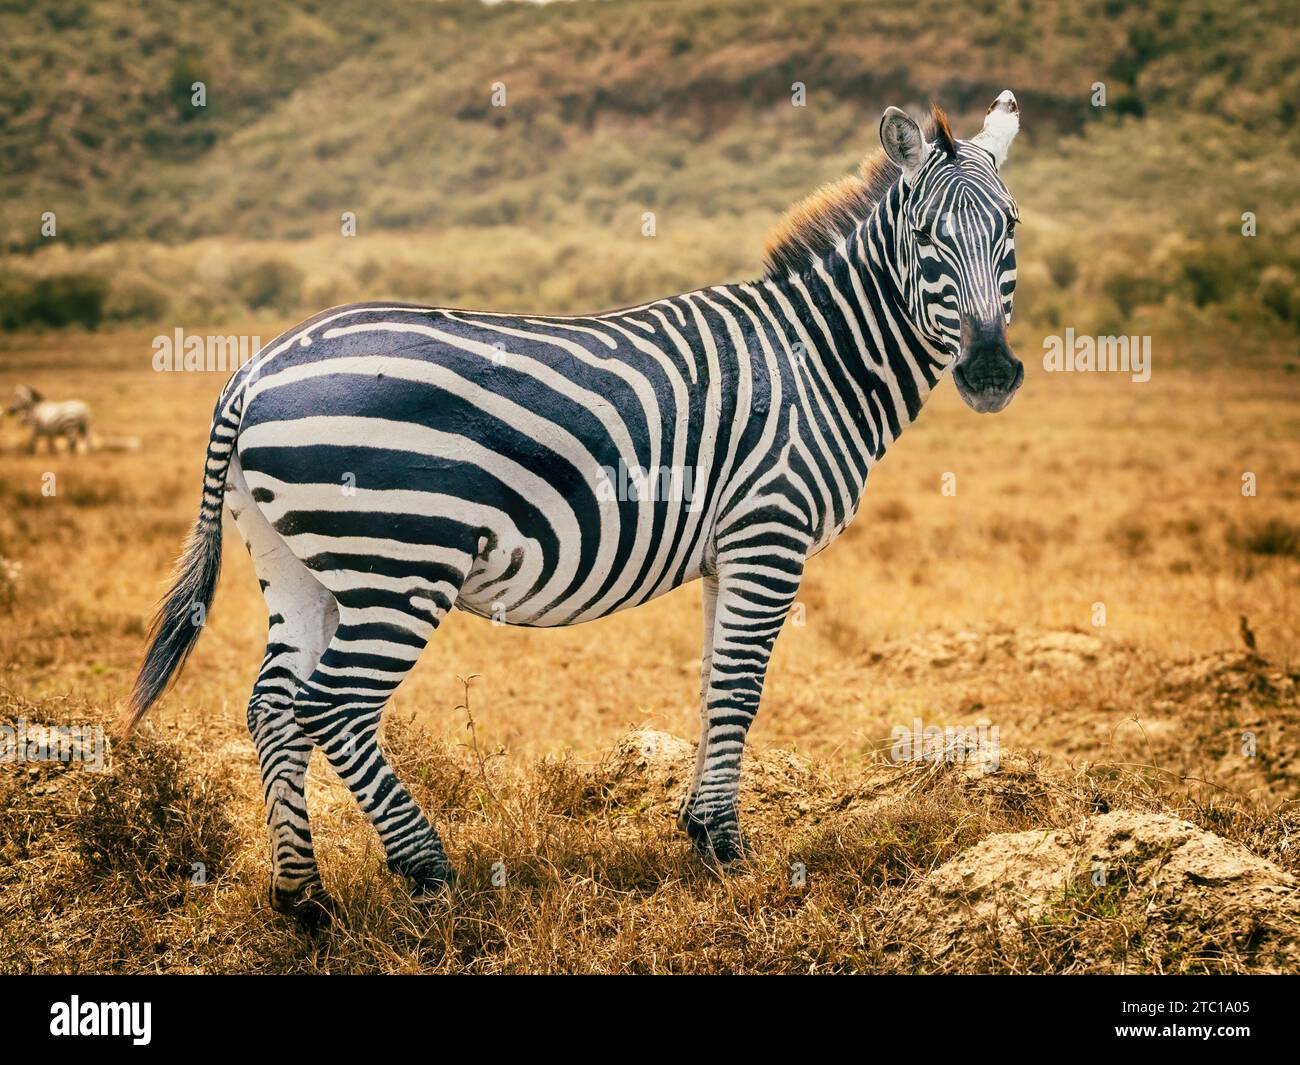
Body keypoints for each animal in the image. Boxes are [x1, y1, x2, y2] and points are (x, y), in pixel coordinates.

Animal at [125, 92, 1023, 922]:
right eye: (927, 238)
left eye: (1011, 229)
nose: (989, 373)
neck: (819, 357)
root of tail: (255, 370)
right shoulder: (769, 530)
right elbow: (739, 686)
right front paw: (731, 852)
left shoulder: (728, 548)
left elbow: (710, 681)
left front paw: (701, 832)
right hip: (401, 562)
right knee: (333, 707)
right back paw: (430, 874)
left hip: (300, 565)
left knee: (273, 706)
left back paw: (304, 898)